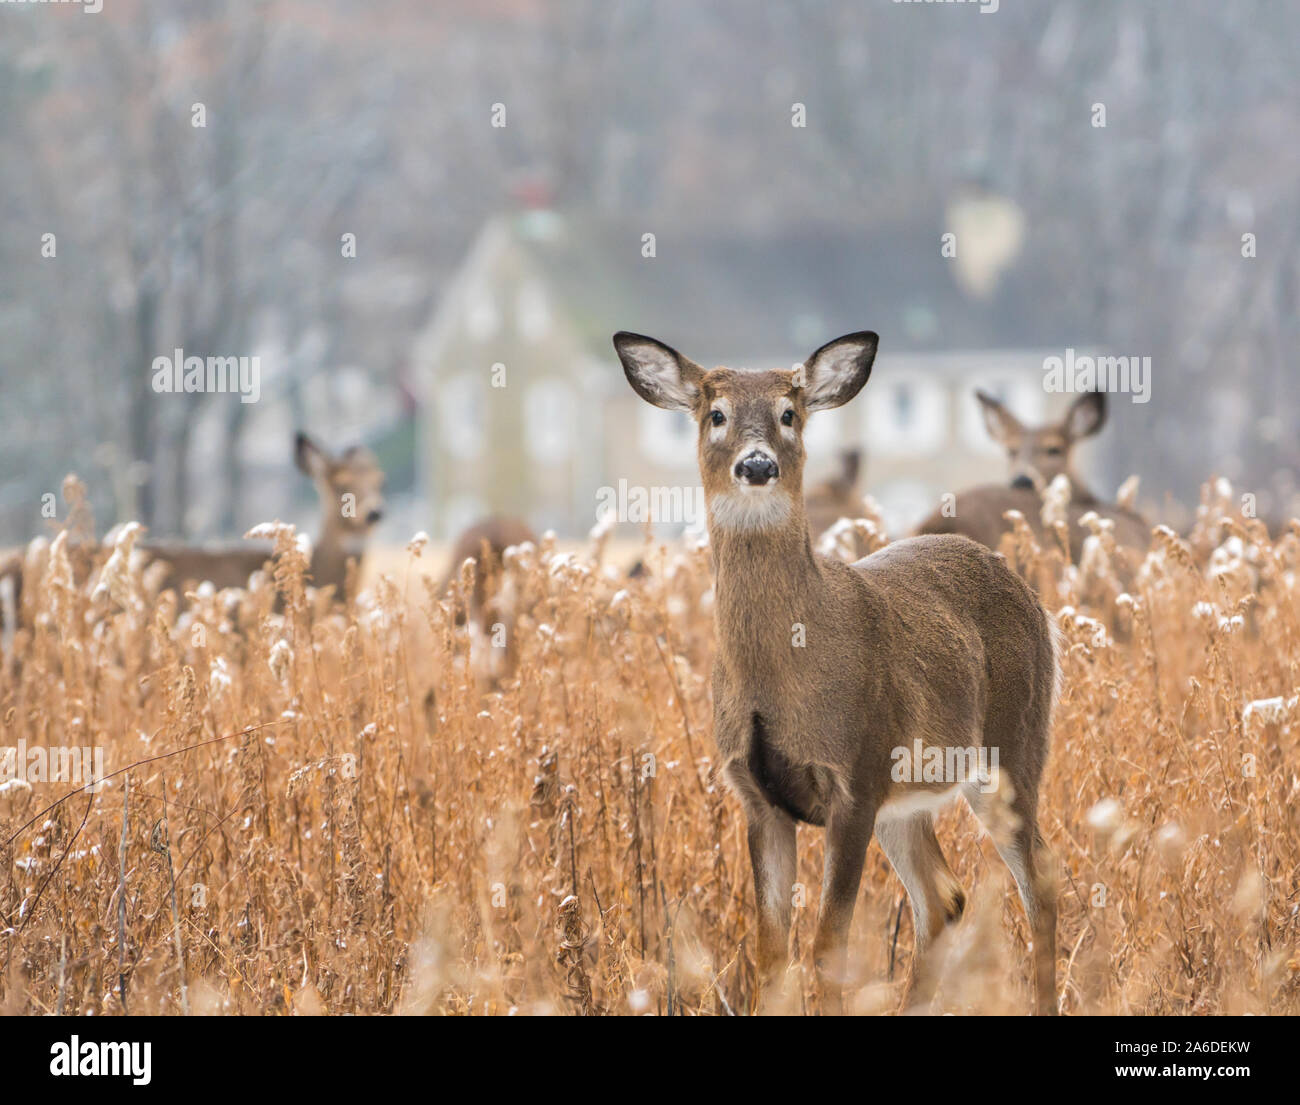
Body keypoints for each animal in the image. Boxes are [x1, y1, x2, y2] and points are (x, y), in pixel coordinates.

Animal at [614, 329, 1060, 1016]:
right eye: (715, 414)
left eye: (788, 413)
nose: (757, 465)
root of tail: (1026, 590)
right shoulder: (758, 798)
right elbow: (773, 955)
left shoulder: (855, 778)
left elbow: (828, 950)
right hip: (909, 798)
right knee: (945, 897)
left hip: (1012, 749)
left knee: (1041, 881)